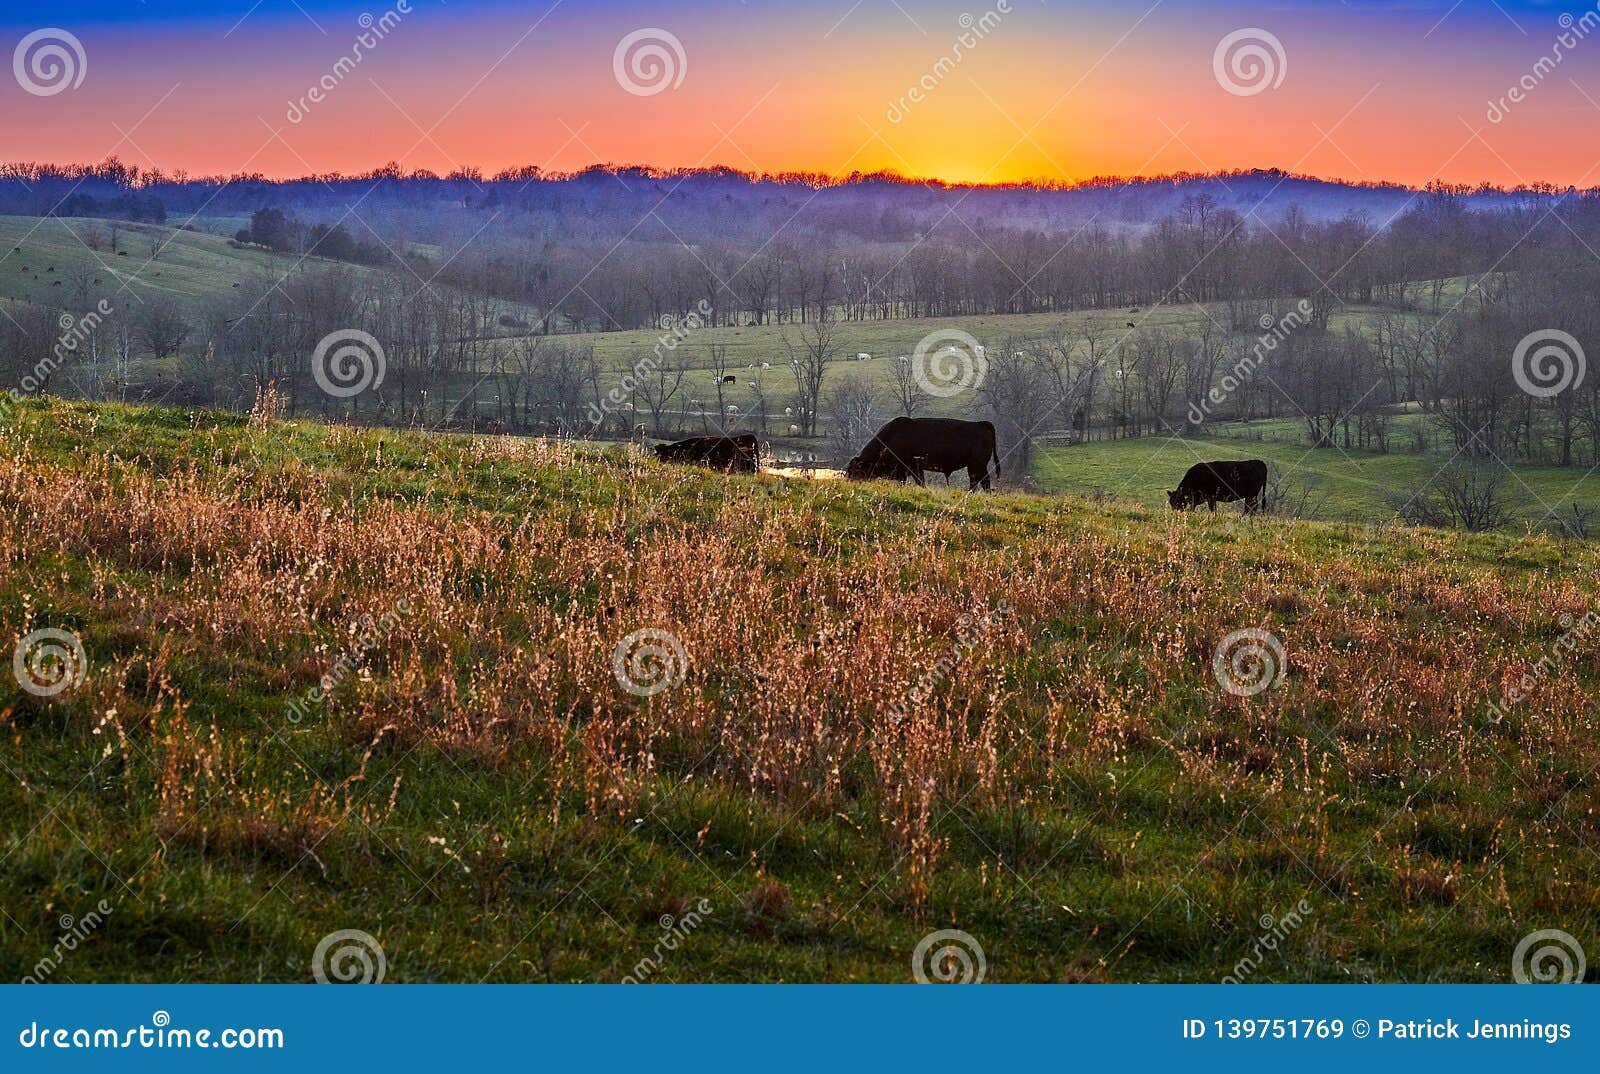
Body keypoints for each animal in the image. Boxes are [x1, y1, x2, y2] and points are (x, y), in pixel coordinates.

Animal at [845, 417, 1000, 491]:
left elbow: (919, 481)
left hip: (977, 466)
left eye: (855, 470)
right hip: (974, 467)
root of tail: (981, 424)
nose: (849, 480)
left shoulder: (910, 468)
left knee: (982, 481)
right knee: (977, 482)